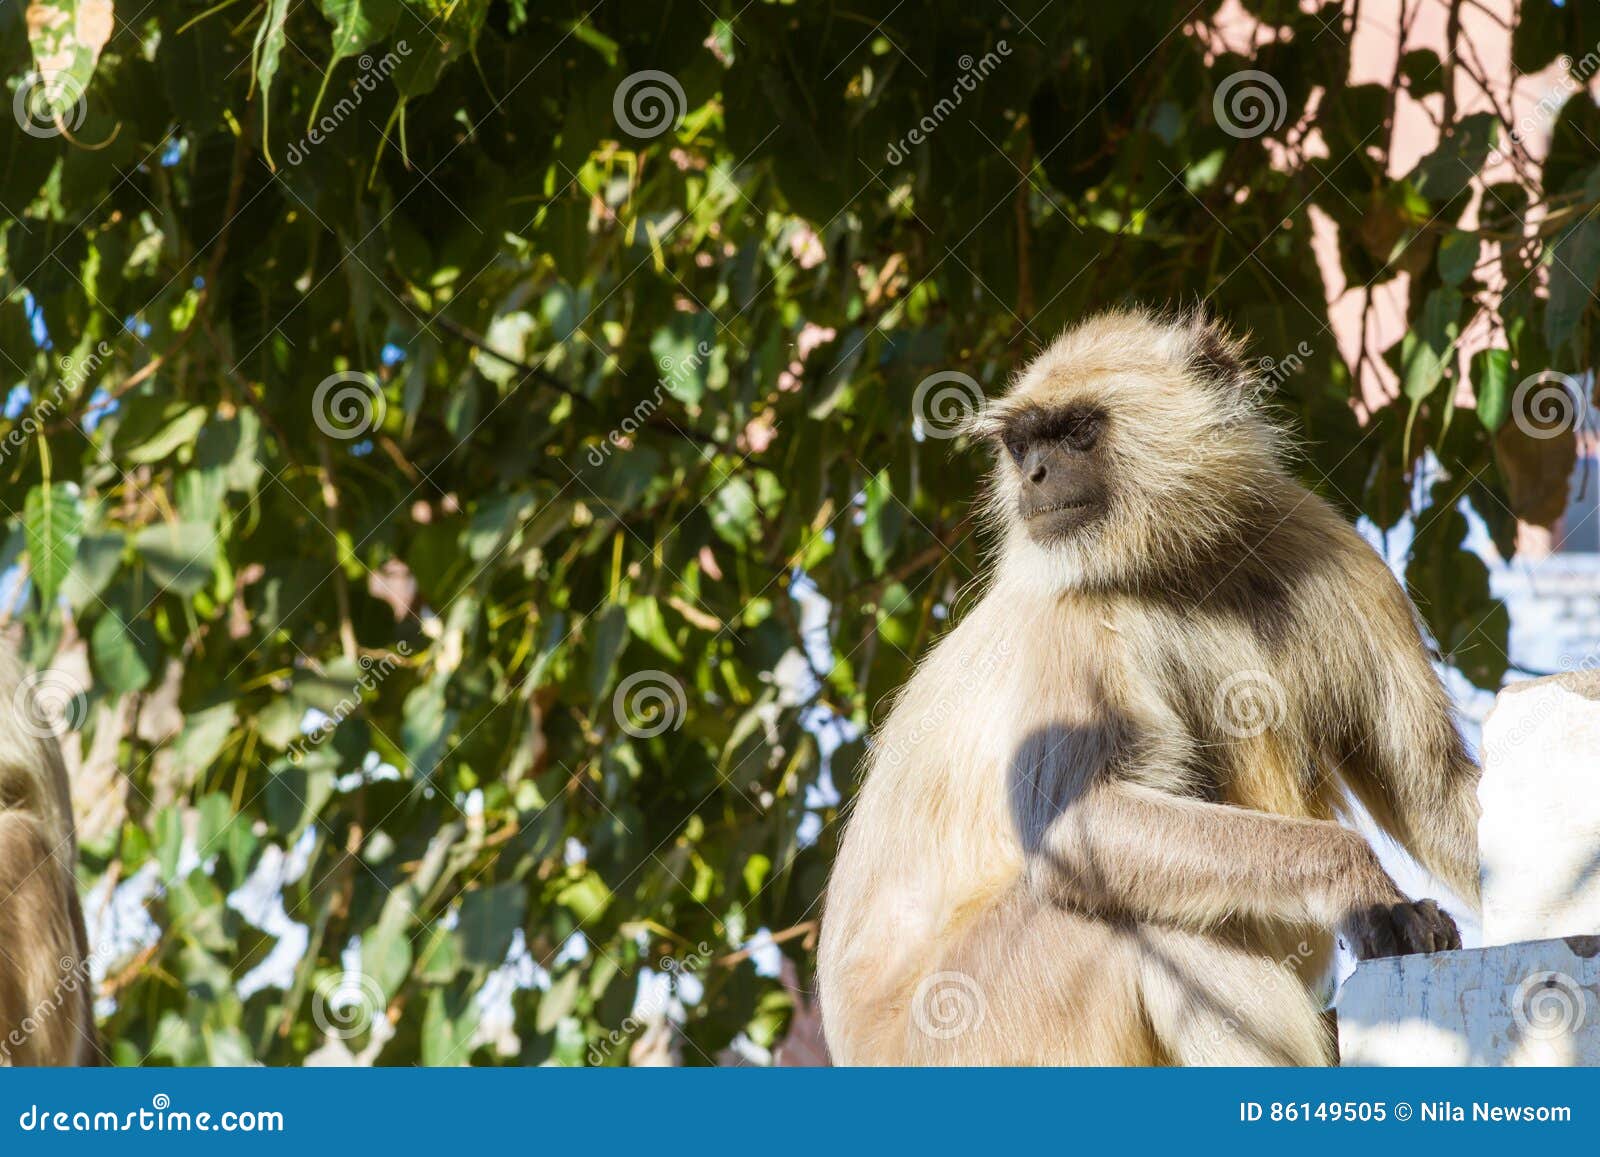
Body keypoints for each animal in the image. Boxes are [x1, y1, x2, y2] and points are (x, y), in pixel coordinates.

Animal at [817, 308, 1480, 1066]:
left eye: (1077, 430)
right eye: (1023, 444)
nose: (1035, 475)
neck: (1183, 563)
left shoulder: (1336, 551)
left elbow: (1433, 790)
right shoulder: (1069, 619)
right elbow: (1072, 829)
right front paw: (1359, 886)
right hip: (968, 1024)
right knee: (1139, 917)